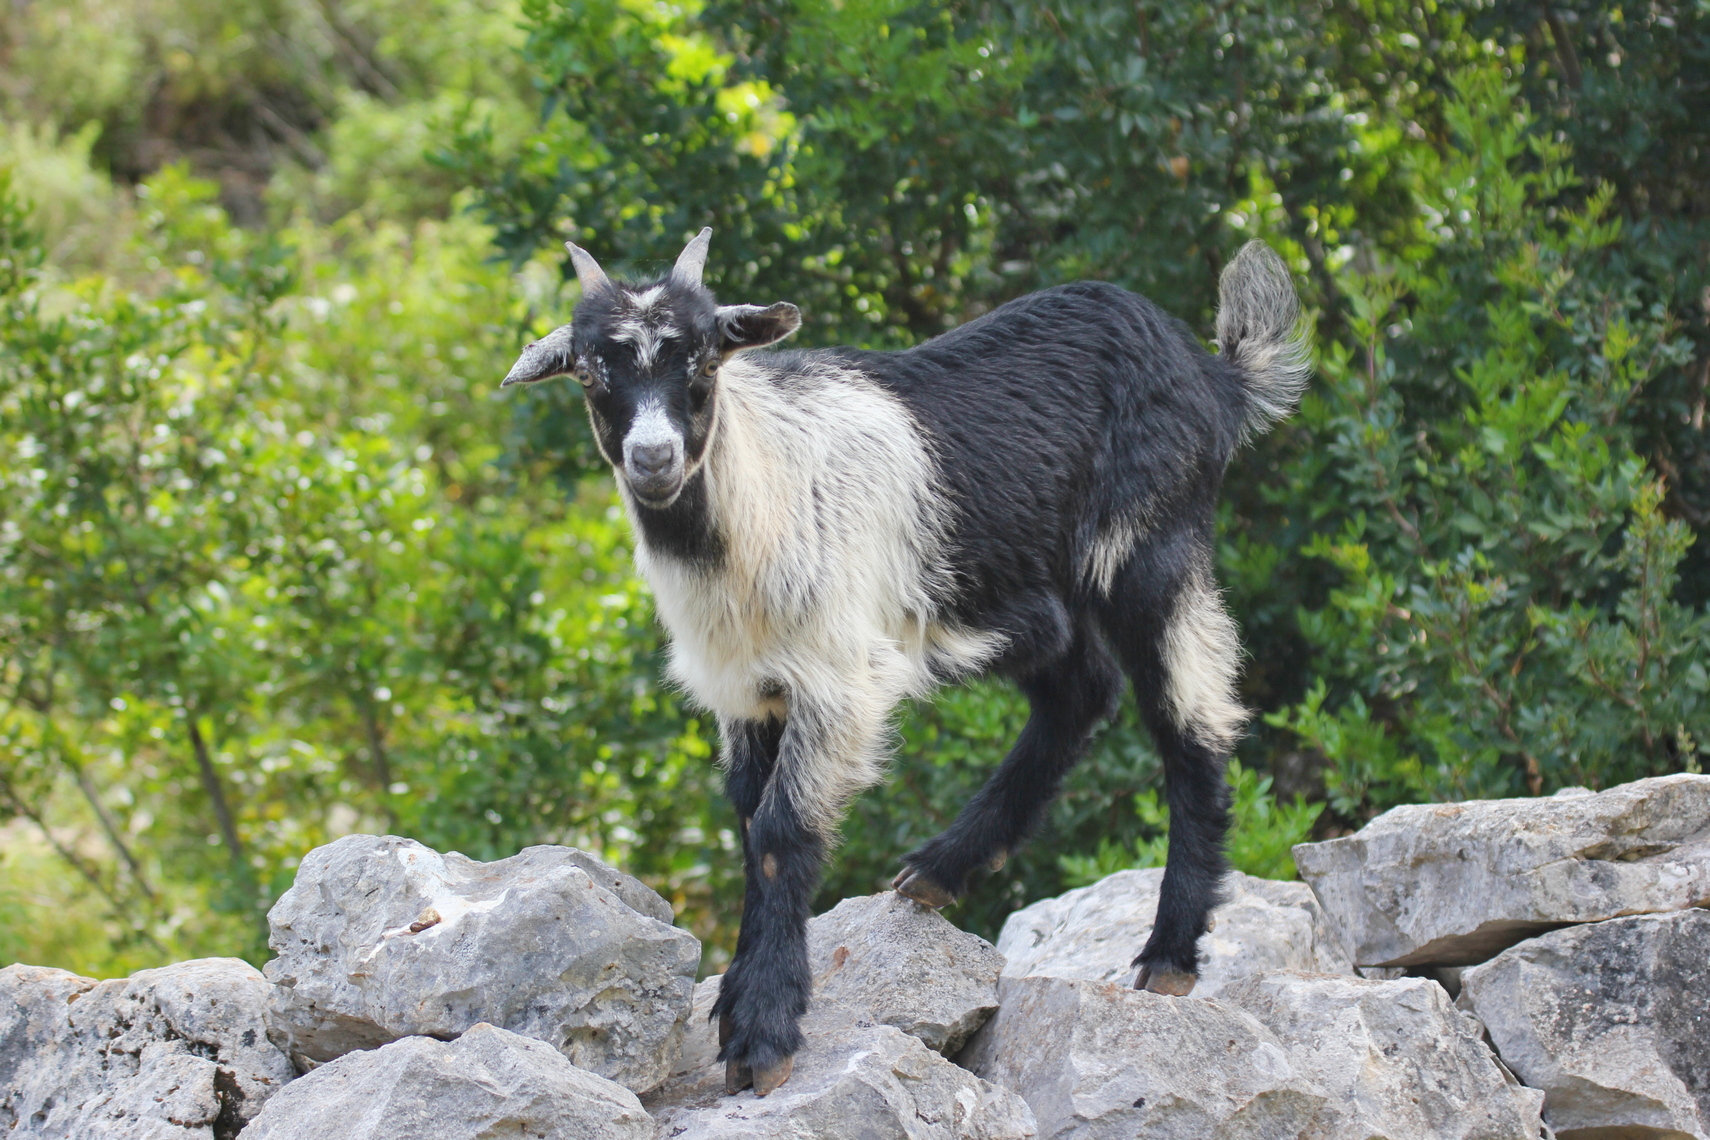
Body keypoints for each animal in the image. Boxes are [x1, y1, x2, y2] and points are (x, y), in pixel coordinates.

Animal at [501, 230, 1309, 1096]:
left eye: (707, 361)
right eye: (590, 372)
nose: (653, 459)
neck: (755, 499)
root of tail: (1215, 376)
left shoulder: (835, 675)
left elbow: (783, 832)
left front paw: (763, 1031)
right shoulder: (747, 689)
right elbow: (749, 824)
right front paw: (738, 996)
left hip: (1152, 545)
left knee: (1191, 718)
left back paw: (1168, 955)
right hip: (1013, 588)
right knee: (1081, 691)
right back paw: (943, 869)